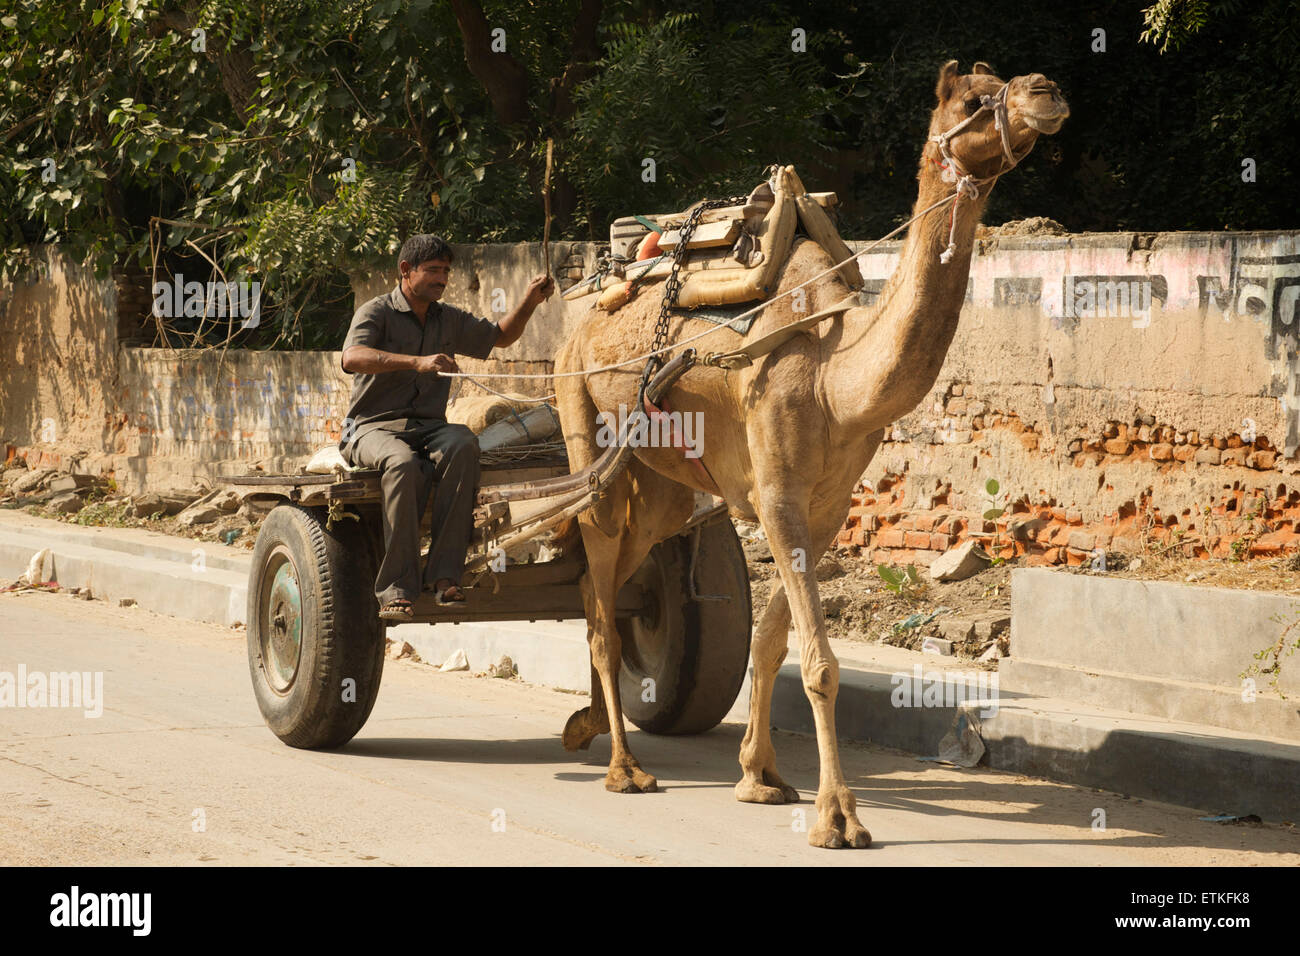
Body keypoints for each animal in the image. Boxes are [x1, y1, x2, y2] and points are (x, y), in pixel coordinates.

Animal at [551, 61, 1069, 848]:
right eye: (973, 99)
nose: (1047, 91)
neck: (836, 375)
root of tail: (575, 310)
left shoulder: (826, 506)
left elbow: (772, 640)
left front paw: (760, 776)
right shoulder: (777, 494)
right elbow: (821, 663)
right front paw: (838, 816)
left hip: (659, 480)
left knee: (602, 583)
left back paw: (592, 730)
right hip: (579, 415)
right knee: (601, 593)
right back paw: (624, 768)